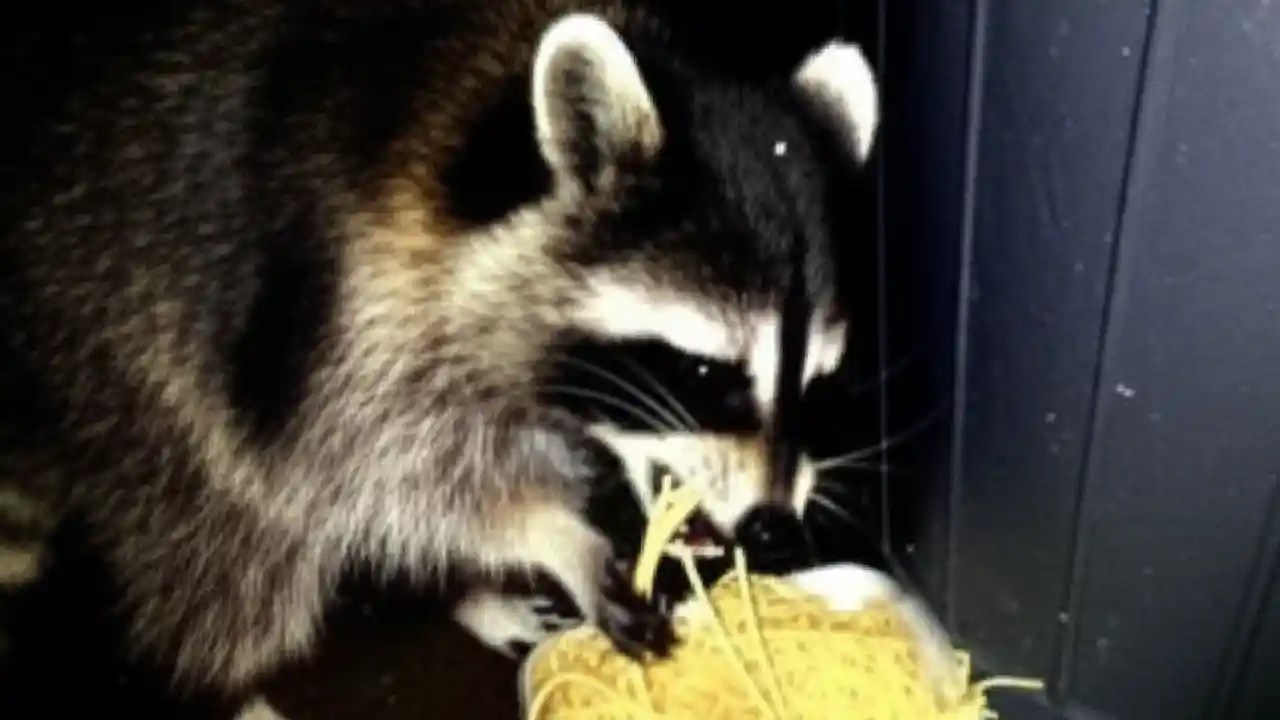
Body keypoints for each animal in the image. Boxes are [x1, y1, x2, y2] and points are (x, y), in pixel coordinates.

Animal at [0, 0, 900, 699]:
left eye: (818, 382)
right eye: (707, 371)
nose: (774, 529)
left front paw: (486, 563)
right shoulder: (345, 305)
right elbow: (371, 472)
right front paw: (551, 534)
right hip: (127, 340)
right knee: (224, 540)